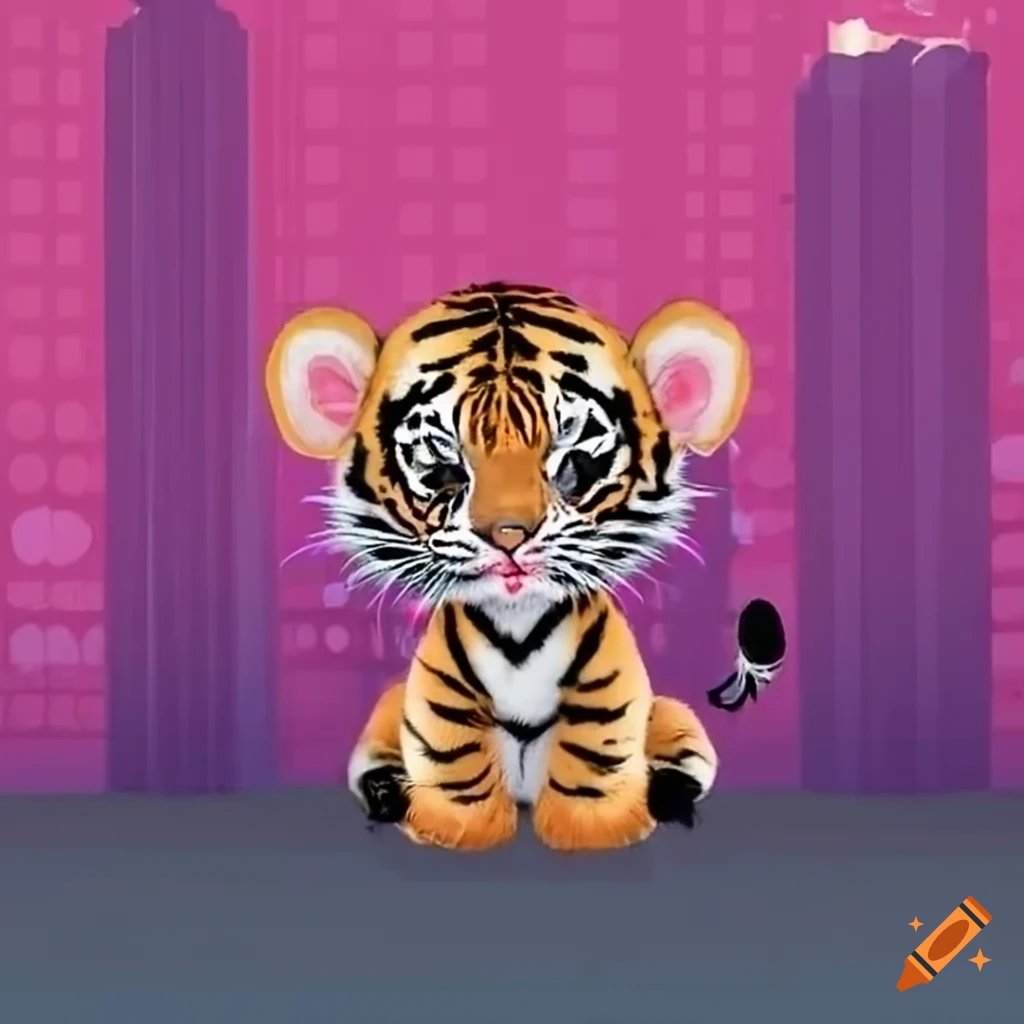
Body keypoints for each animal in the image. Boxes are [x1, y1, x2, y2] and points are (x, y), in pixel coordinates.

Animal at [264, 281, 782, 852]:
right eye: (444, 462)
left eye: (572, 459)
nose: (508, 534)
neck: (518, 625)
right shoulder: (440, 701)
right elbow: (454, 760)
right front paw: (458, 828)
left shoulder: (608, 694)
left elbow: (594, 755)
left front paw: (594, 829)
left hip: (671, 712)